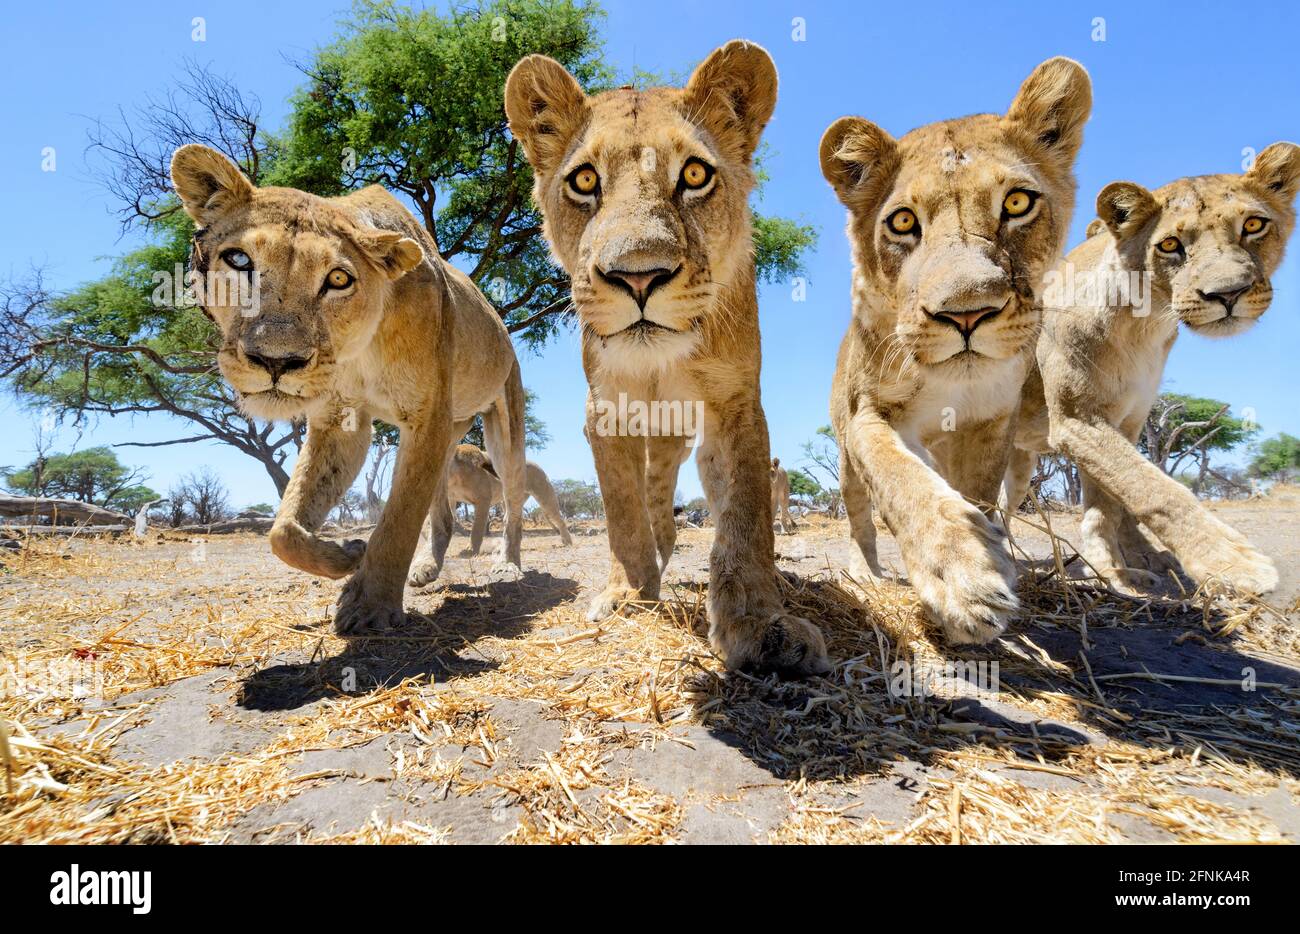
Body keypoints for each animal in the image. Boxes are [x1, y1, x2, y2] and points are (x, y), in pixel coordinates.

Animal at [170, 144, 528, 636]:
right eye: (240, 261)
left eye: (338, 279)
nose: (276, 360)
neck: (358, 348)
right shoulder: (343, 420)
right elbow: (284, 528)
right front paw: (346, 555)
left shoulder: (427, 417)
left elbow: (399, 519)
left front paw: (369, 605)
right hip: (449, 436)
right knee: (442, 511)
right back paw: (425, 568)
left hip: (502, 426)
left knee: (511, 498)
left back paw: (507, 564)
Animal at [505, 40, 829, 675]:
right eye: (584, 180)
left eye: (695, 174)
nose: (638, 276)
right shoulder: (604, 411)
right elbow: (623, 511)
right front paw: (629, 594)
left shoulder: (735, 402)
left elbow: (745, 515)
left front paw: (759, 622)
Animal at [820, 58, 1092, 645]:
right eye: (903, 221)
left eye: (1017, 202)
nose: (966, 313)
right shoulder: (869, 414)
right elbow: (901, 479)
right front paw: (964, 575)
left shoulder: (991, 422)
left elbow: (978, 493)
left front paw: (984, 553)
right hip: (844, 452)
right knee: (859, 512)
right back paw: (865, 572)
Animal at [1004, 144, 1300, 593]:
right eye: (1171, 245)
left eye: (1253, 225)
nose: (1228, 293)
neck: (1145, 324)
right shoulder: (1077, 420)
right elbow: (1152, 487)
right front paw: (1231, 561)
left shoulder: (1127, 422)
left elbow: (1112, 503)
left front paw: (1125, 566)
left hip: (1019, 462)